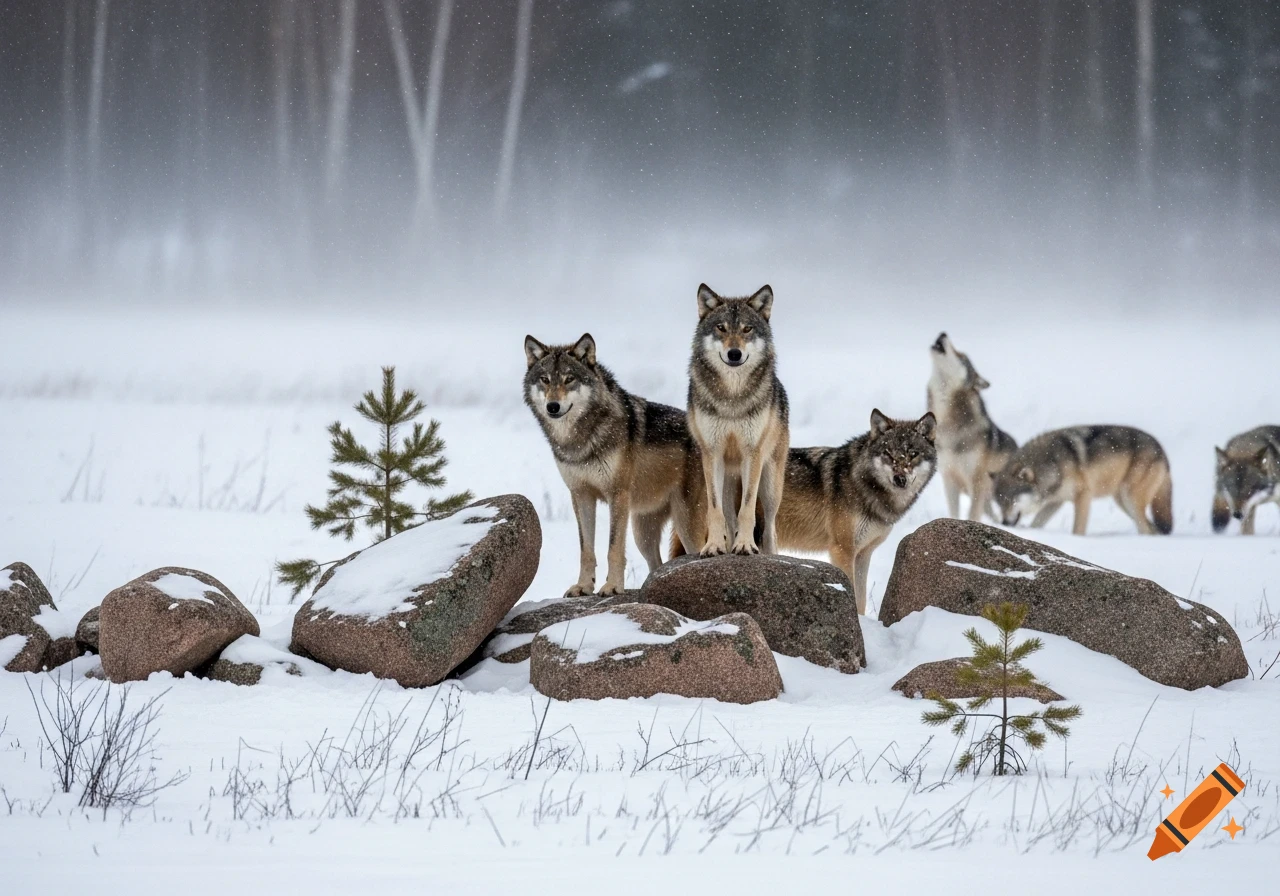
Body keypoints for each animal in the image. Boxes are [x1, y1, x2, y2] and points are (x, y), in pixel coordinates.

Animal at [524, 333, 705, 596]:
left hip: (687, 526)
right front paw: (583, 586)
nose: (553, 406)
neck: (580, 440)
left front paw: (612, 587)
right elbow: (586, 550)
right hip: (643, 533)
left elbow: (614, 548)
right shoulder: (581, 495)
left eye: (569, 379)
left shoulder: (617, 494)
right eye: (545, 380)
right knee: (657, 565)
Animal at [686, 283, 790, 556]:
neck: (732, 396)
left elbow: (747, 508)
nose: (734, 353)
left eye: (747, 329)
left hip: (771, 485)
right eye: (721, 328)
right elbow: (714, 510)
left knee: (771, 526)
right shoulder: (712, 454)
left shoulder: (752, 454)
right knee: (728, 516)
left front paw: (745, 545)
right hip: (727, 481)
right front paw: (713, 546)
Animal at [774, 410, 937, 615]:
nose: (899, 479)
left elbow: (860, 599)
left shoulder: (863, 554)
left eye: (913, 454)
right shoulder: (843, 550)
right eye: (888, 454)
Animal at [927, 332, 1017, 521]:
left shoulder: (977, 481)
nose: (943, 333)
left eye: (962, 357)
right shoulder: (949, 480)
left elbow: (971, 515)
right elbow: (954, 513)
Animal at [992, 425, 1173, 535]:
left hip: (1130, 499)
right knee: (1152, 528)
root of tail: (1162, 451)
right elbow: (1036, 523)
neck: (1053, 464)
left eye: (1010, 501)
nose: (1004, 523)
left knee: (1147, 528)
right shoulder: (1055, 502)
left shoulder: (1083, 495)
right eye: (999, 504)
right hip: (1123, 502)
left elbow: (1077, 529)